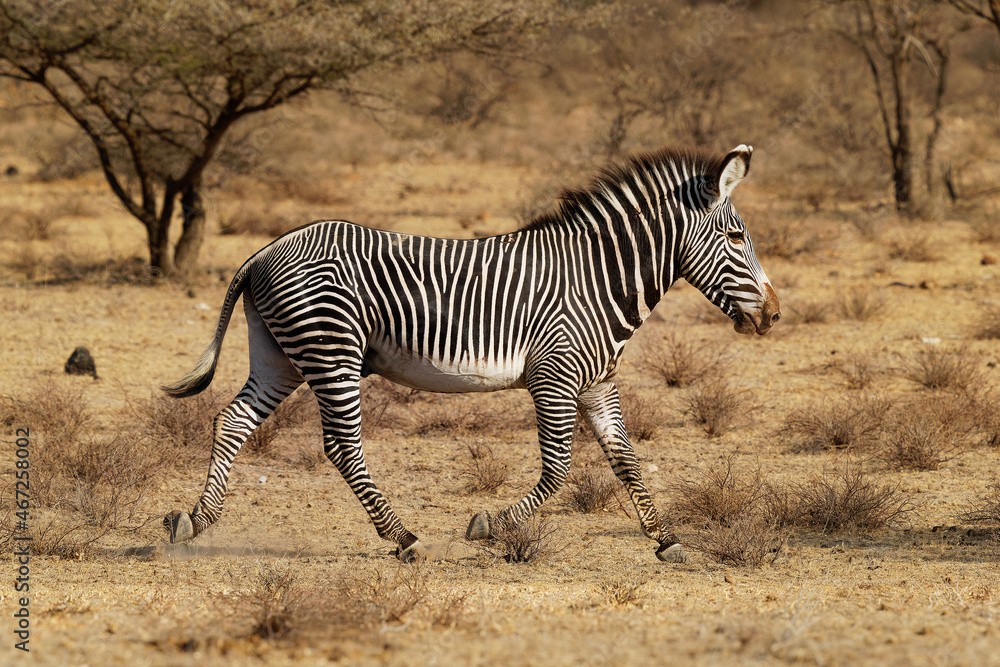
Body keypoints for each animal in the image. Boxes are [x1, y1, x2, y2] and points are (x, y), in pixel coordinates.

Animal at [162, 144, 780, 562]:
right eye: (736, 240)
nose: (774, 315)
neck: (599, 281)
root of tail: (267, 249)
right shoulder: (553, 376)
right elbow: (558, 468)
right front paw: (489, 525)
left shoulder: (598, 382)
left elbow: (626, 460)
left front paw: (666, 539)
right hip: (331, 349)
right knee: (341, 446)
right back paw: (403, 538)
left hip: (282, 354)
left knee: (232, 421)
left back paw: (196, 520)